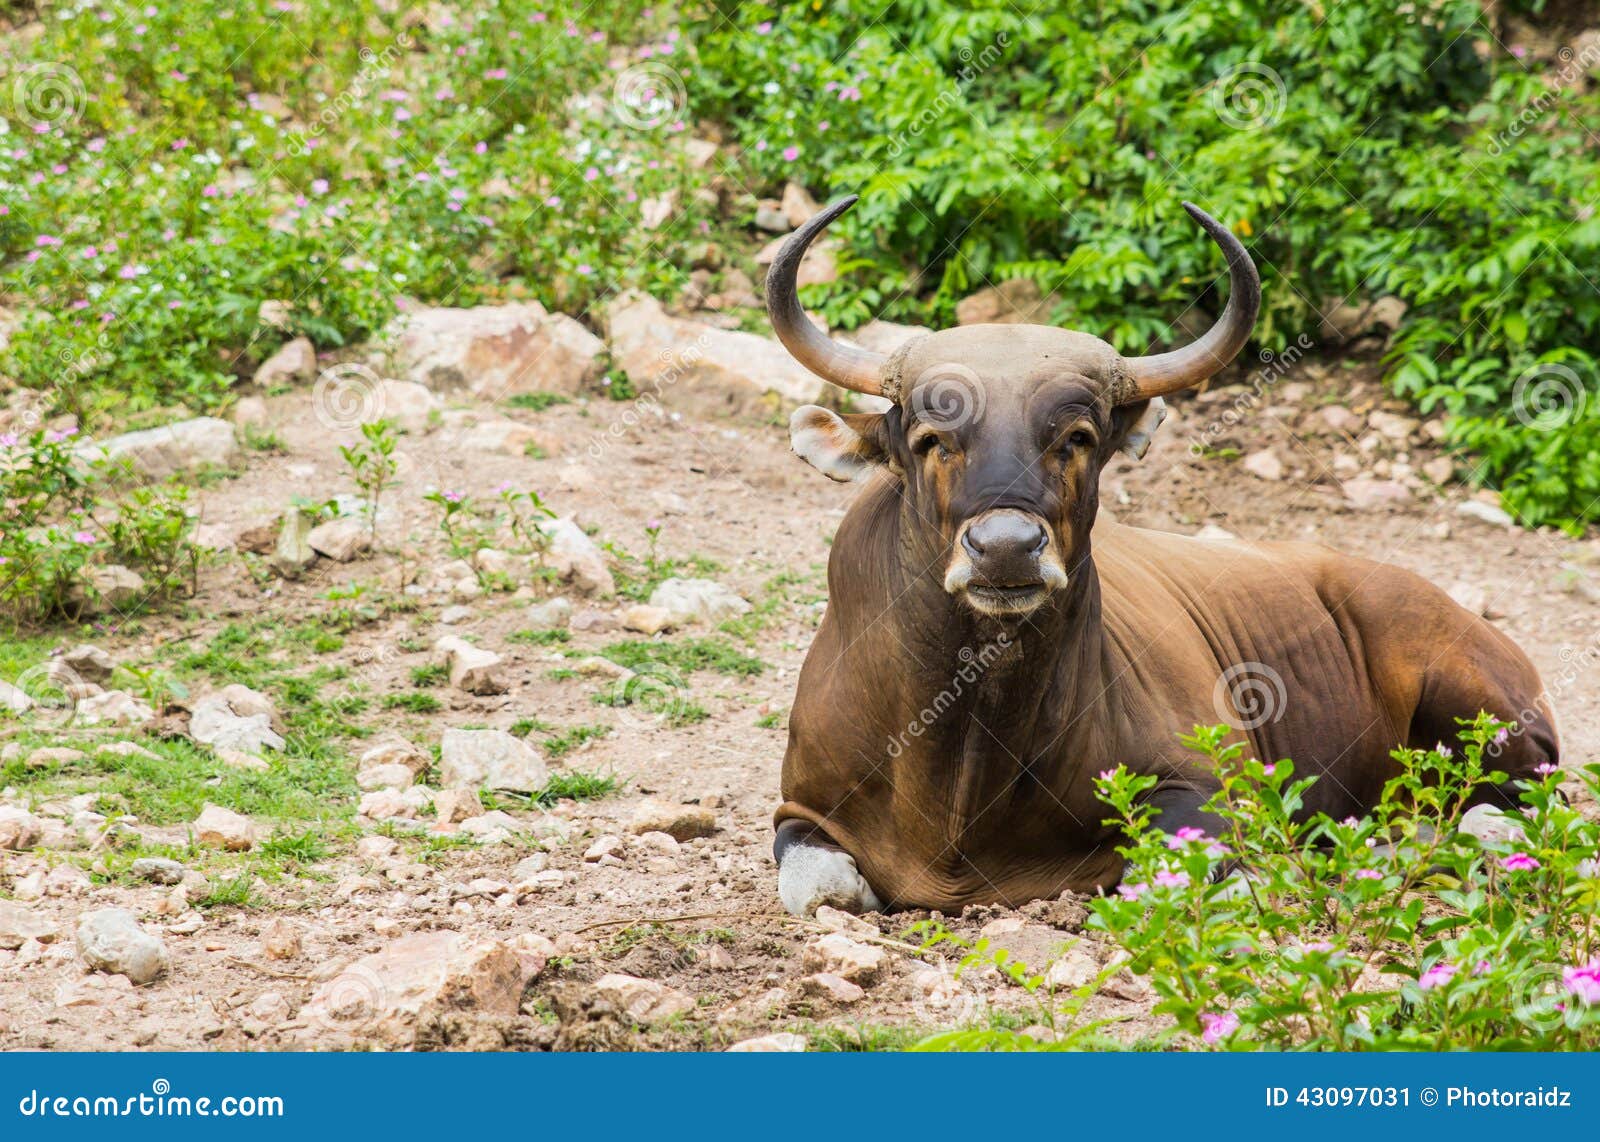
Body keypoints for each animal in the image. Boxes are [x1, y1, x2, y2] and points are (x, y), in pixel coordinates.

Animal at [764, 195, 1559, 916]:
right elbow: (817, 888)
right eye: (932, 438)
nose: (1006, 550)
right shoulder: (799, 811)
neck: (965, 771)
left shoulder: (1210, 787)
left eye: (1077, 437)